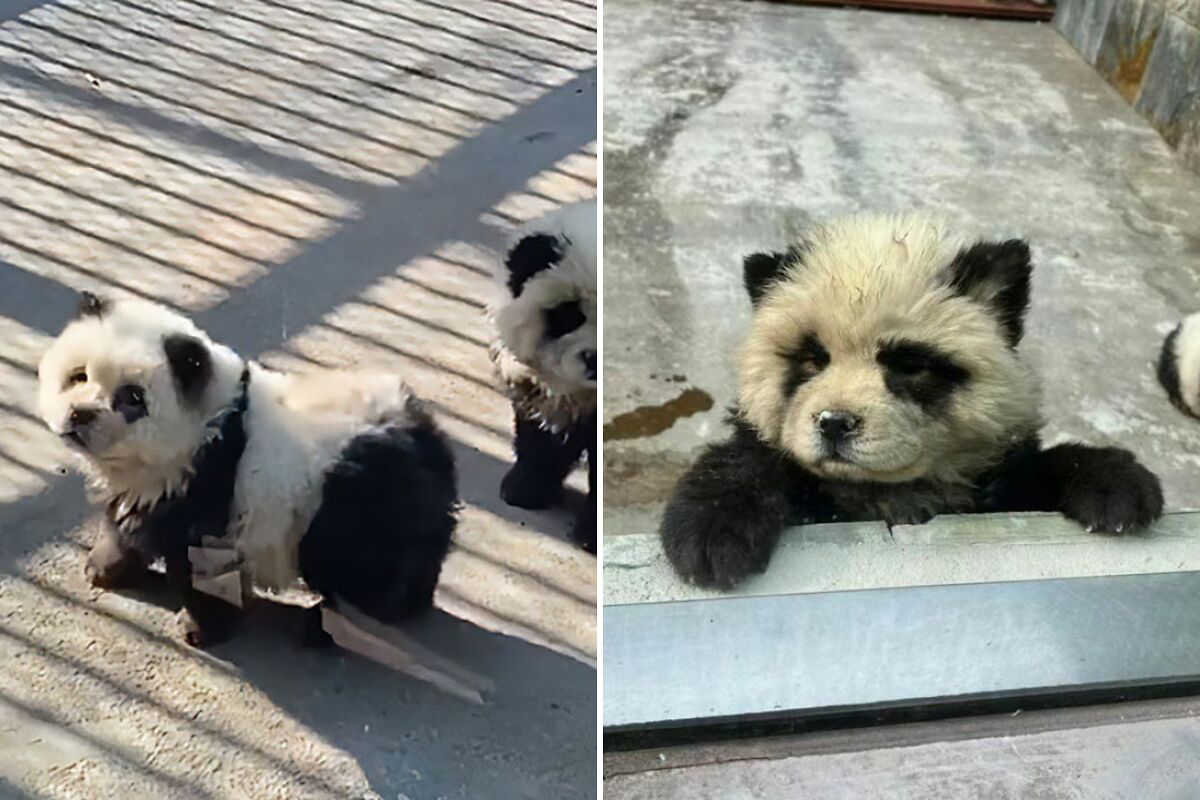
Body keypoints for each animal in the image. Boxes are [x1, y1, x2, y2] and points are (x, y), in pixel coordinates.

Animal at [661, 214, 1164, 588]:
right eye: (811, 359)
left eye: (908, 364)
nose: (834, 423)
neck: (883, 489)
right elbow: (748, 458)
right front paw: (710, 532)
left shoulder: (991, 481)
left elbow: (1037, 471)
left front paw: (1117, 486)